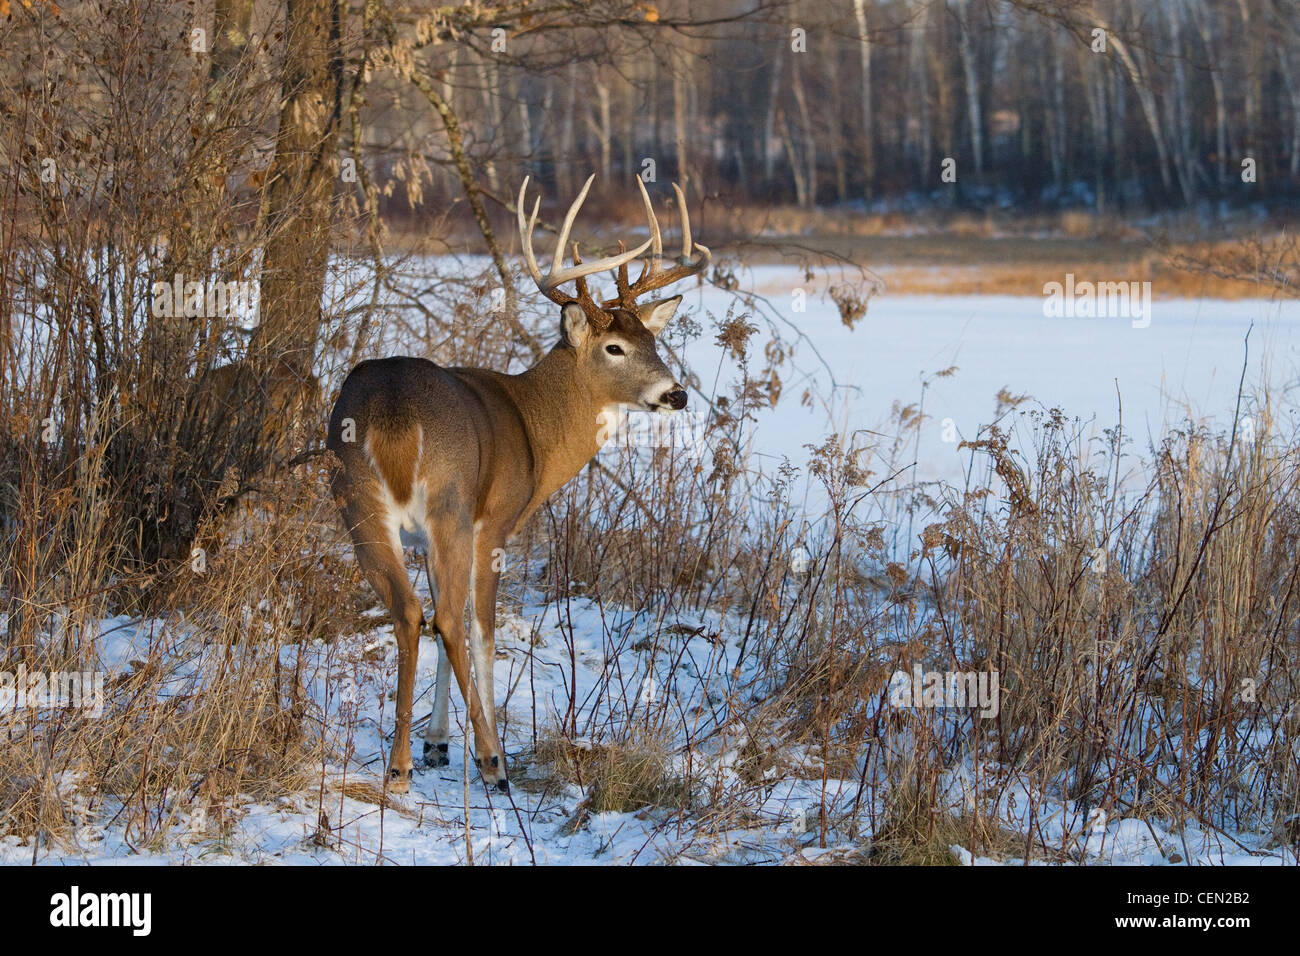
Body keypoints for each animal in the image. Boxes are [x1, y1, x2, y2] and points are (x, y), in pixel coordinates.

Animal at [326, 174, 709, 793]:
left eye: (654, 342)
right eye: (614, 347)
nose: (675, 394)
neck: (533, 428)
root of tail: (394, 414)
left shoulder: (426, 538)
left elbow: (443, 623)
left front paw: (437, 744)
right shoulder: (498, 523)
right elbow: (479, 630)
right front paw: (472, 749)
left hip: (357, 502)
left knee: (411, 613)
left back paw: (399, 767)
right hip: (452, 503)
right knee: (450, 619)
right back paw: (491, 760)